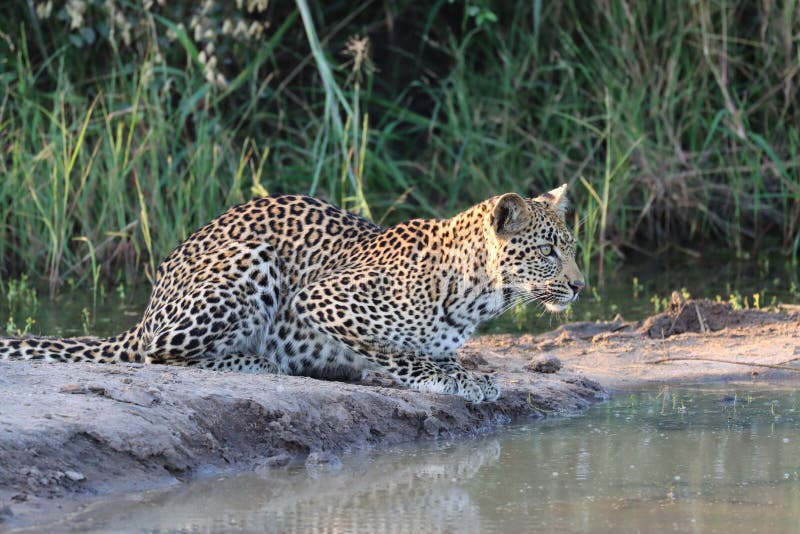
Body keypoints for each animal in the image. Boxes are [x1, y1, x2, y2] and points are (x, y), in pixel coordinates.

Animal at [0, 184, 584, 403]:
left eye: (573, 248)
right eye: (548, 251)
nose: (580, 285)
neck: (478, 293)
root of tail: (146, 309)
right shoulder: (322, 299)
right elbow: (400, 352)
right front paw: (455, 379)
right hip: (249, 260)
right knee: (157, 353)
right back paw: (256, 363)